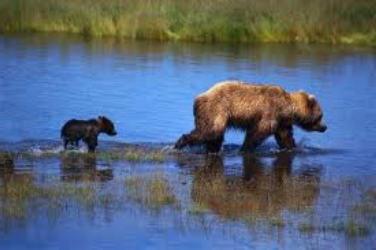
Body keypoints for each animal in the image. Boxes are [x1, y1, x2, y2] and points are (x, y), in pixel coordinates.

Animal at [176, 81, 326, 153]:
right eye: (320, 115)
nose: (325, 127)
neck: (287, 107)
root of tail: (198, 98)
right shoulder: (270, 112)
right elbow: (258, 132)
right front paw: (245, 148)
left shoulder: (282, 121)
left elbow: (285, 136)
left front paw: (292, 147)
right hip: (216, 109)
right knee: (209, 131)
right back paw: (179, 144)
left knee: (215, 137)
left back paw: (213, 150)